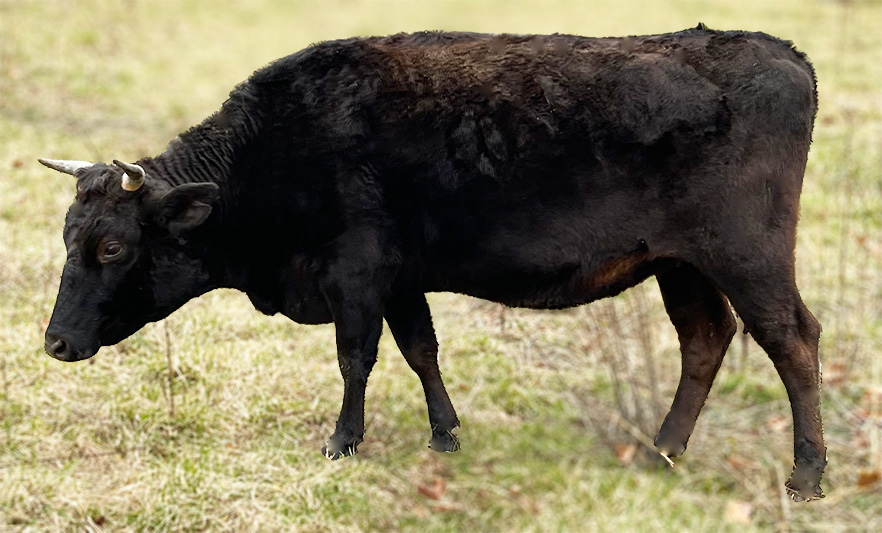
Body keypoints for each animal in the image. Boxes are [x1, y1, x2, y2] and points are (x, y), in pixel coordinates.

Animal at [38, 25, 825, 501]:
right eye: (68, 234)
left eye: (113, 246)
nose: (56, 342)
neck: (278, 148)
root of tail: (783, 52)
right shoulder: (401, 279)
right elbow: (421, 349)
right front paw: (446, 434)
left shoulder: (354, 276)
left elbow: (356, 357)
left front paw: (342, 441)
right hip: (680, 265)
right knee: (705, 340)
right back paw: (664, 449)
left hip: (747, 255)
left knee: (793, 342)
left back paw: (807, 473)